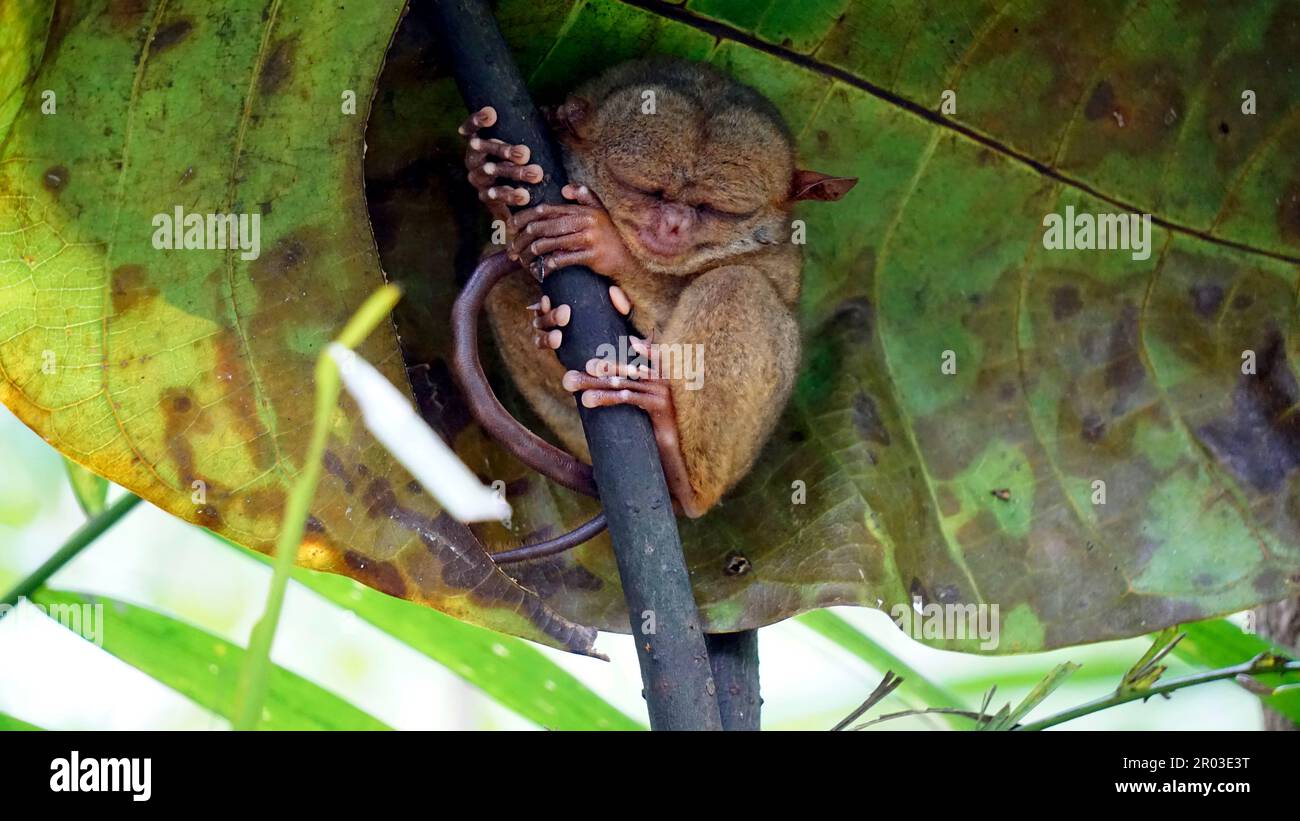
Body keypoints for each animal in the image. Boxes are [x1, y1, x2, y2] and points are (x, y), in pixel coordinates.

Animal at [453, 58, 855, 554]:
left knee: (735, 285)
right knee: (501, 279)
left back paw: (680, 468)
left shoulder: (781, 257)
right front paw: (489, 170)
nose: (674, 226)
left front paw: (605, 244)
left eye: (718, 209)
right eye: (644, 189)